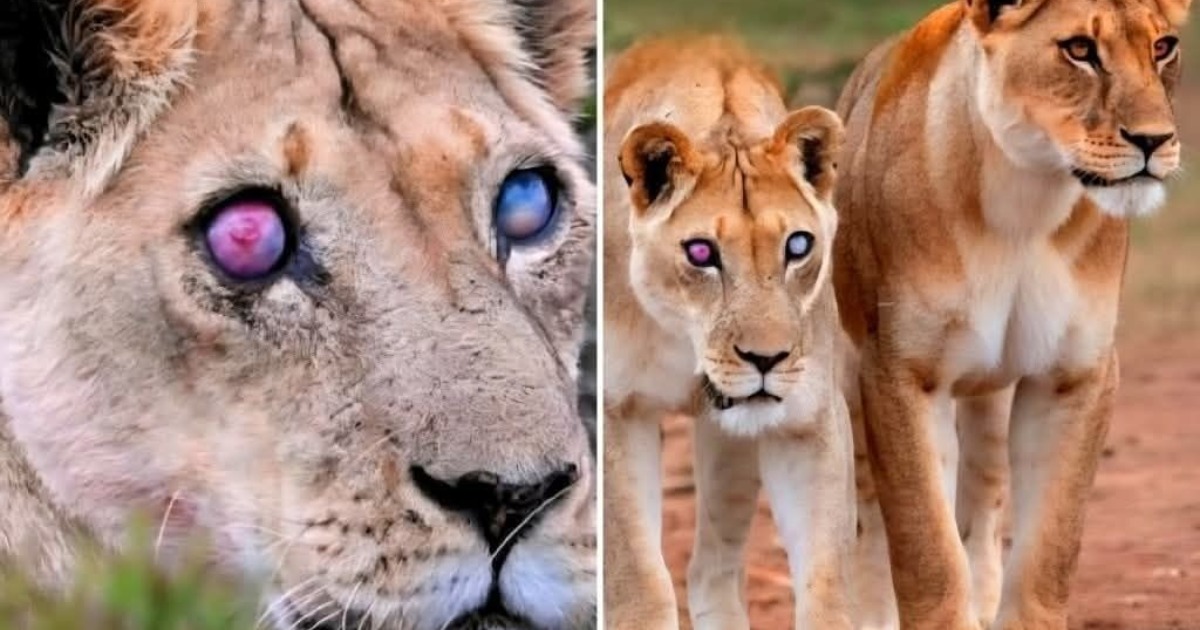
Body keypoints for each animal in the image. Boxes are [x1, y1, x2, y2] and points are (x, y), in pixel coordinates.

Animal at [602, 35, 854, 630]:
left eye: (798, 246)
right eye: (701, 253)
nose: (767, 359)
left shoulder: (808, 422)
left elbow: (827, 586)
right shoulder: (617, 410)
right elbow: (640, 585)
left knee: (711, 570)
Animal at [833, 1, 1190, 629]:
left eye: (1164, 46)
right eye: (1079, 50)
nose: (1155, 140)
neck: (1028, 200)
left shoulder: (1075, 375)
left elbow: (1050, 550)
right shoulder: (902, 373)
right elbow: (925, 548)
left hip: (991, 401)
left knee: (982, 502)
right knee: (870, 515)